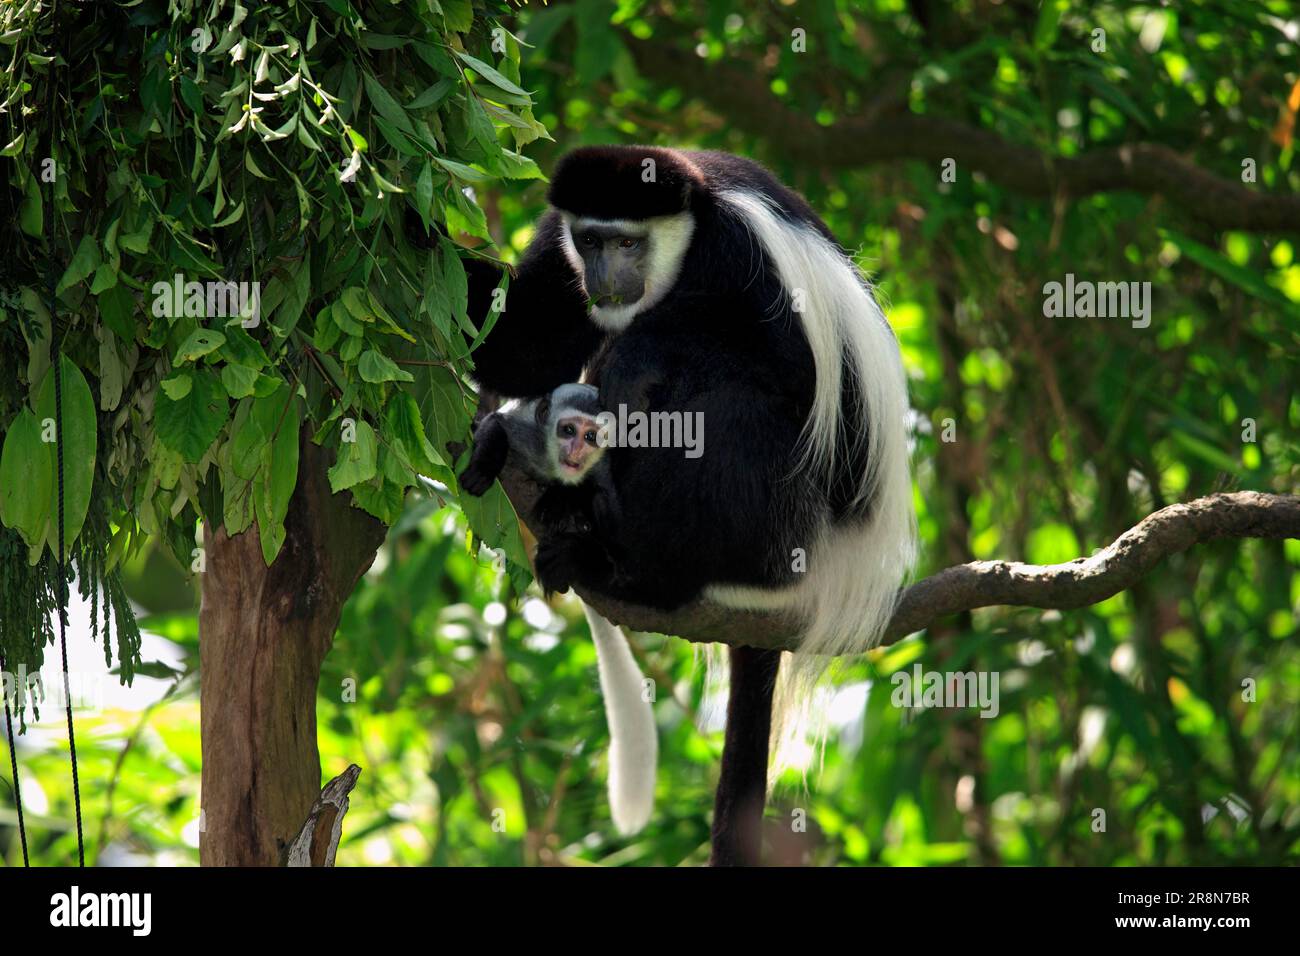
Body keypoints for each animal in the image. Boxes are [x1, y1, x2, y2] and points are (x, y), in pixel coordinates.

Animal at [463, 146, 917, 865]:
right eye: (590, 240)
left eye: (628, 243)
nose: (603, 280)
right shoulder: (557, 247)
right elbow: (521, 341)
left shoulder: (746, 256)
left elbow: (786, 375)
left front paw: (640, 350)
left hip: (787, 526)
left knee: (726, 403)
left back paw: (642, 576)